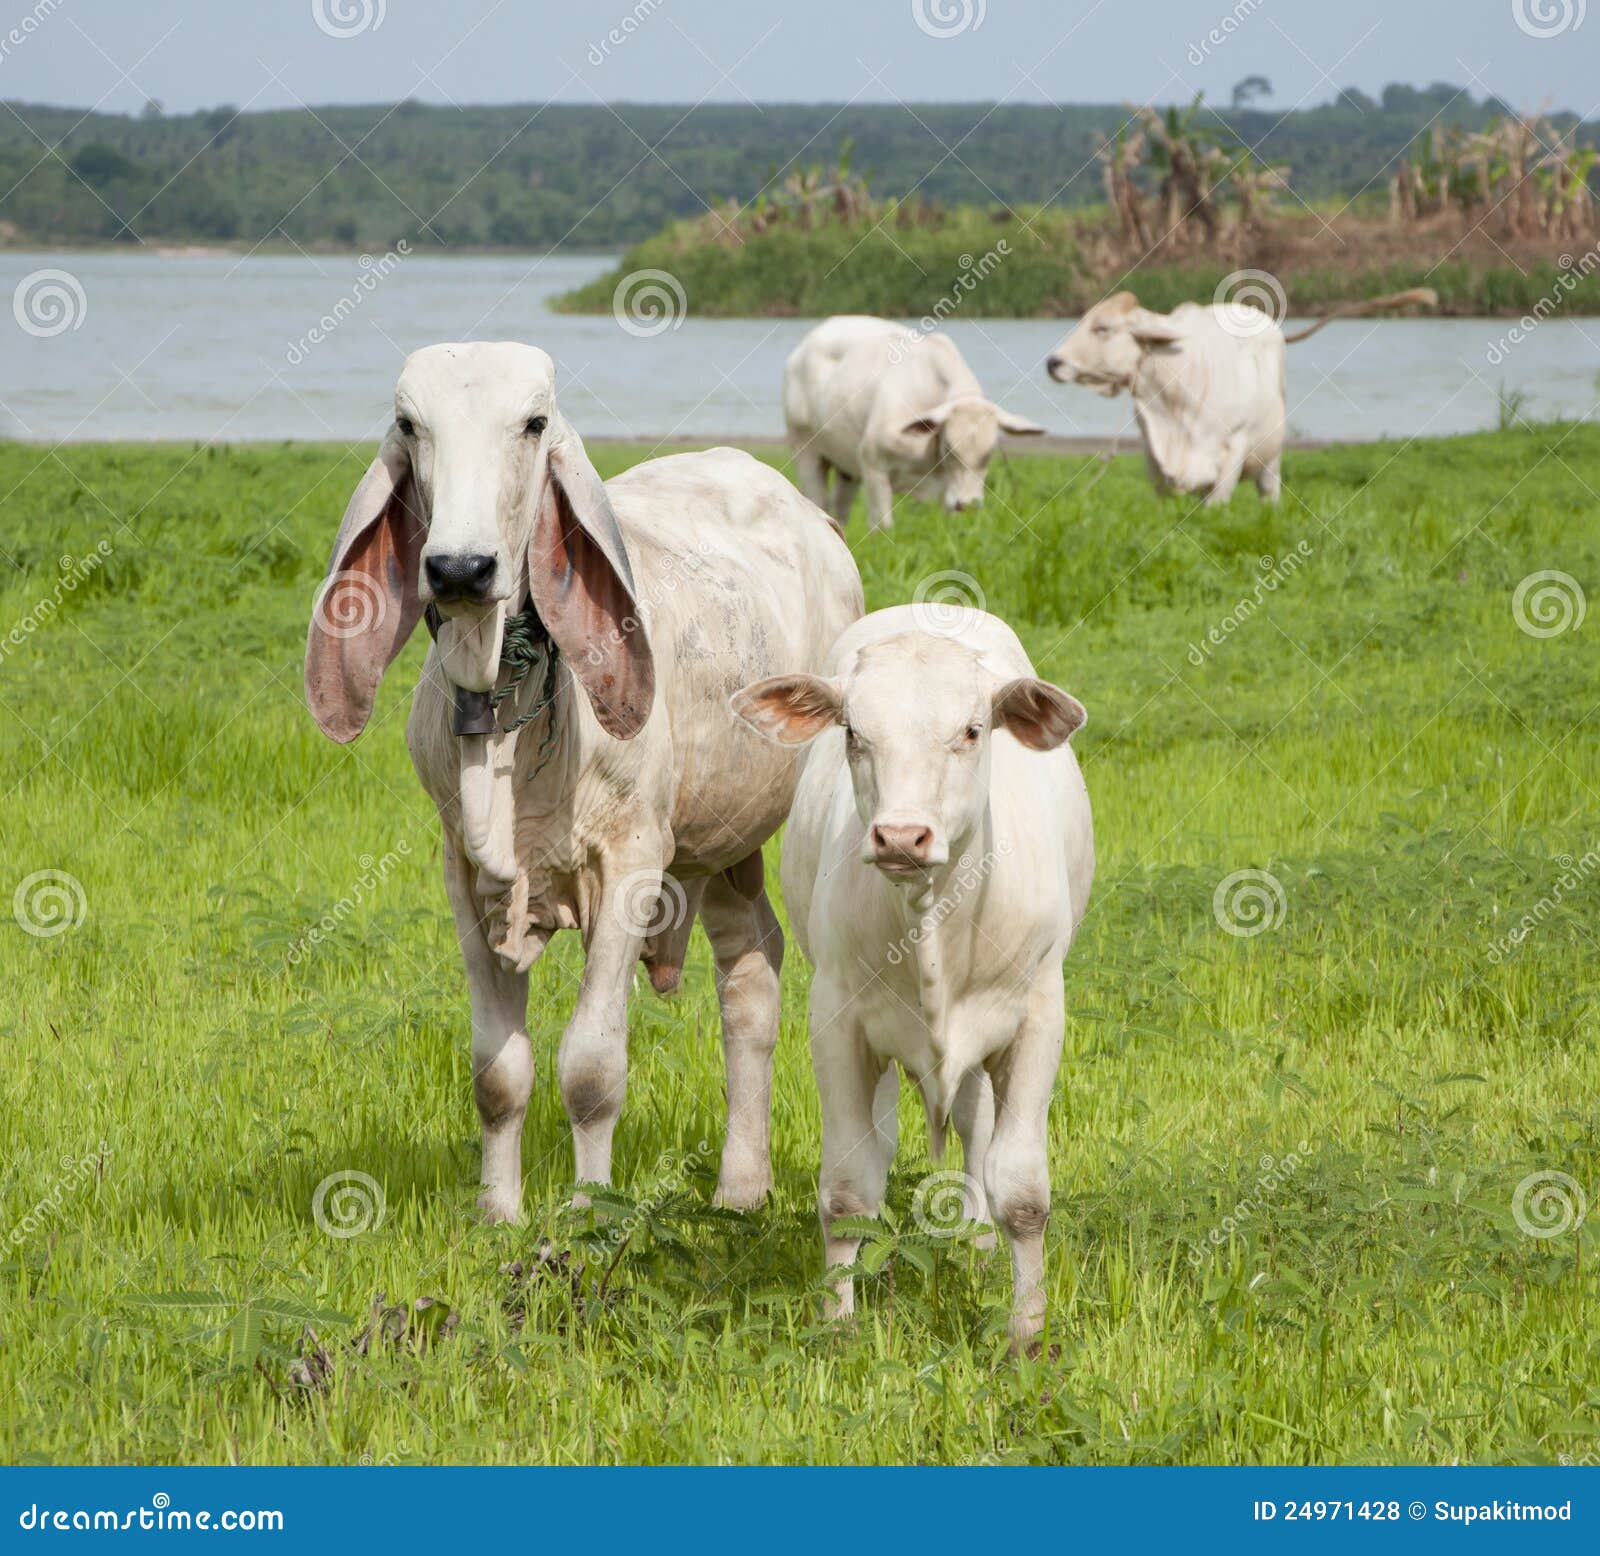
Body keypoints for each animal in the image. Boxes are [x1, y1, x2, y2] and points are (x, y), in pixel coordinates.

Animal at [305, 341, 863, 1222]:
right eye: (409, 423)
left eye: (535, 423)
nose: (461, 568)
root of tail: (814, 515)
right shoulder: (460, 873)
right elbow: (497, 1073)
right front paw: (497, 1213)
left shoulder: (632, 861)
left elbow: (592, 1070)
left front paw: (589, 1209)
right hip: (720, 843)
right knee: (749, 966)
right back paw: (743, 1185)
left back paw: (737, 1185)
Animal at [732, 604, 1094, 1352]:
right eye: (852, 732)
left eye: (972, 730)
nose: (901, 837)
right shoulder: (836, 1020)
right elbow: (848, 1188)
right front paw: (839, 1326)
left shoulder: (1038, 1015)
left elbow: (1022, 1190)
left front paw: (1026, 1332)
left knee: (975, 1129)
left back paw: (978, 1242)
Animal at [785, 315, 1045, 531]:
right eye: (950, 448)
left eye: (989, 453)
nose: (968, 503)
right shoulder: (873, 464)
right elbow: (883, 525)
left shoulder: (947, 493)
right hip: (806, 450)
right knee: (818, 498)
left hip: (846, 469)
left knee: (841, 508)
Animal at [1045, 287, 1436, 504]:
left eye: (1102, 328)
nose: (1053, 362)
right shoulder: (1156, 462)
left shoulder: (1231, 450)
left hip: (1271, 459)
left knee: (1269, 491)